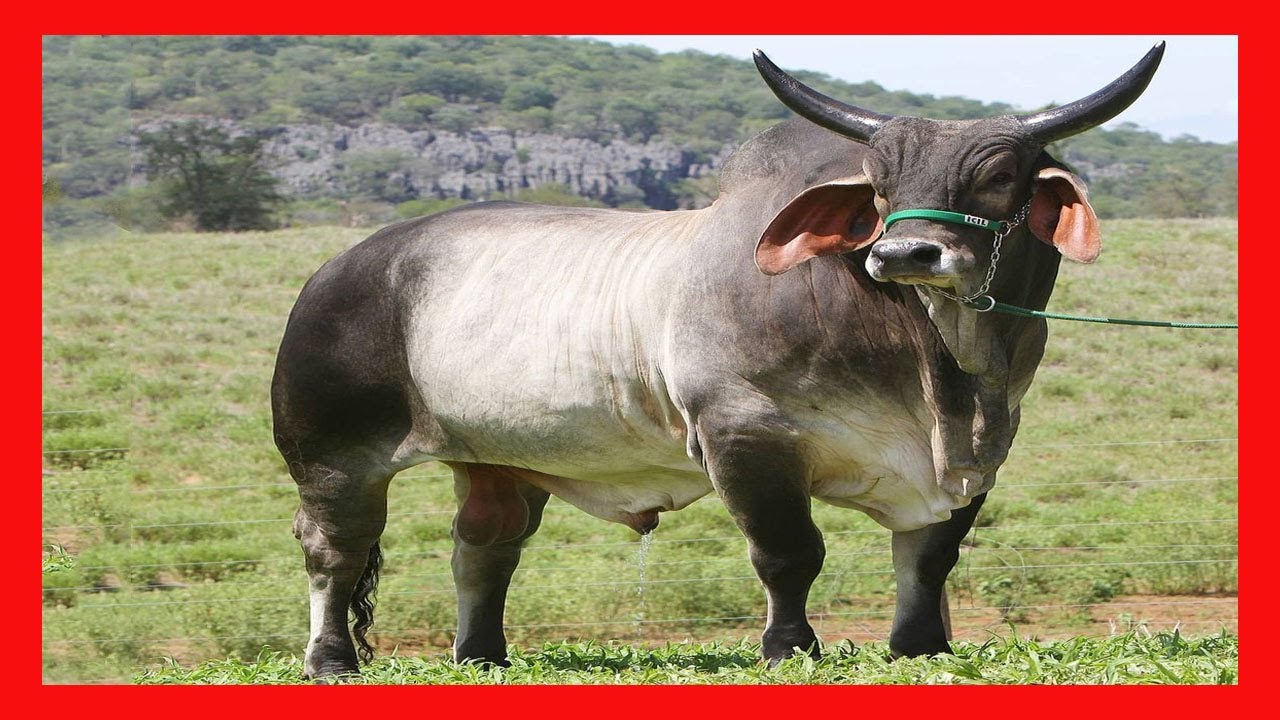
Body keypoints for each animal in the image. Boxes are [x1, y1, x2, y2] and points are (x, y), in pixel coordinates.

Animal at [271, 43, 1164, 679]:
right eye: (879, 184)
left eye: (1002, 175)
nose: (905, 253)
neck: (938, 378)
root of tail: (342, 265)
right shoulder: (745, 433)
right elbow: (790, 552)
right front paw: (790, 648)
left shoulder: (979, 457)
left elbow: (929, 559)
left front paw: (919, 648)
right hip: (334, 457)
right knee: (333, 553)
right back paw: (331, 662)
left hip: (498, 460)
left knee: (484, 549)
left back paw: (483, 656)